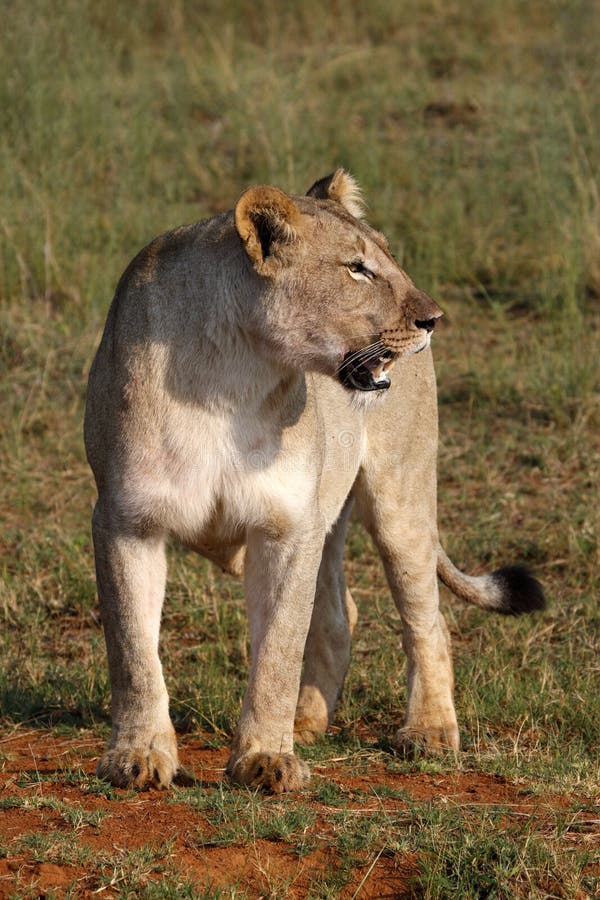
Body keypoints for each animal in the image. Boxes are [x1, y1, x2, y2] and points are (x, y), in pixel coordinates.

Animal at [84, 169, 544, 793]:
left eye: (389, 259)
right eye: (357, 268)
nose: (433, 320)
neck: (229, 378)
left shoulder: (287, 526)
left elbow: (278, 649)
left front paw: (264, 758)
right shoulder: (126, 521)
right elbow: (133, 652)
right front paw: (138, 756)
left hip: (400, 499)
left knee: (427, 620)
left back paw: (427, 730)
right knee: (338, 614)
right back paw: (308, 720)